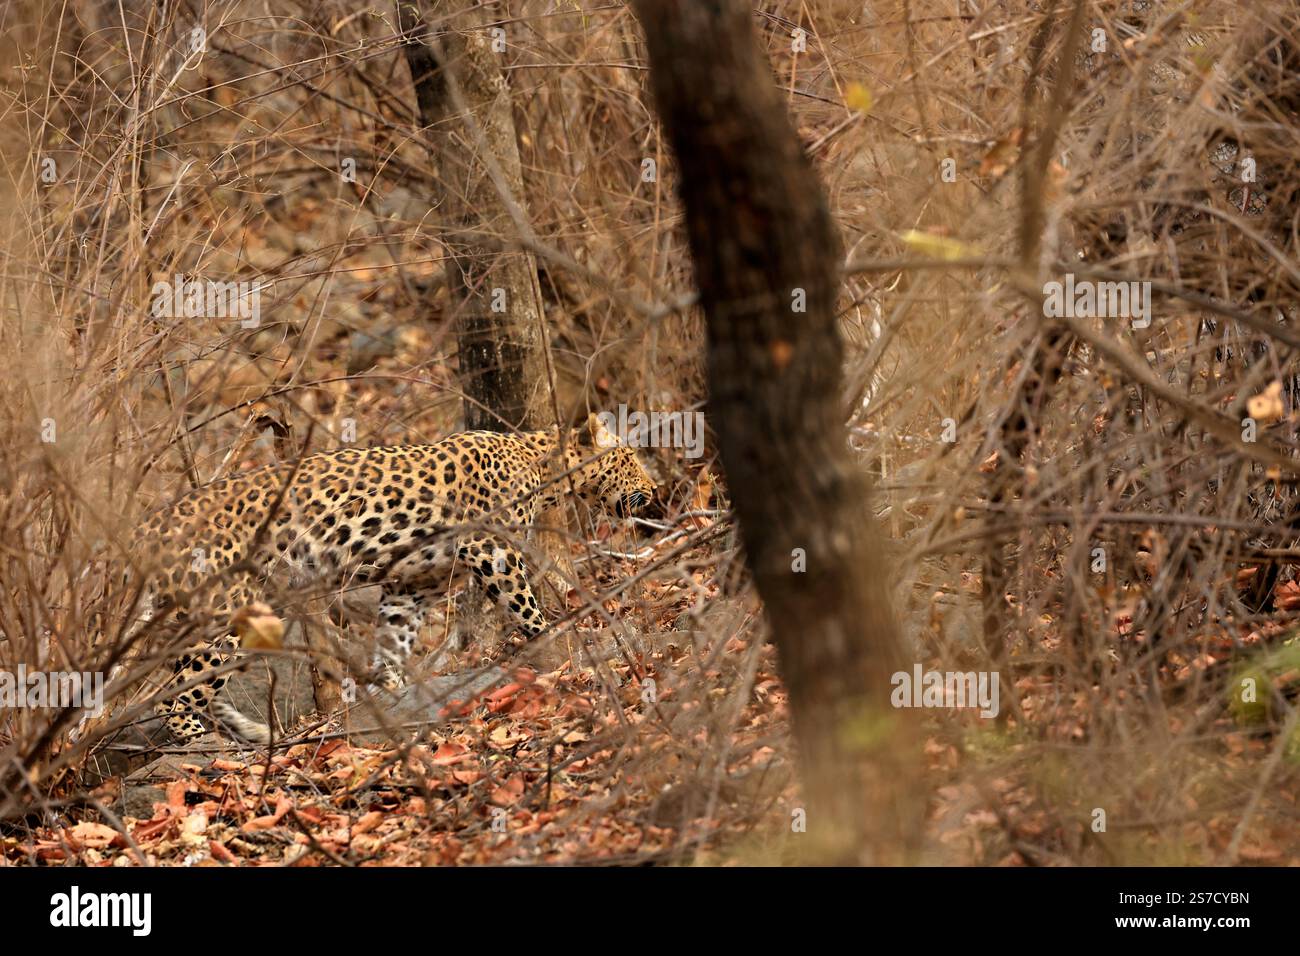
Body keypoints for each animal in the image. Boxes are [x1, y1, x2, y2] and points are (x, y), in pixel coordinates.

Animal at [122, 413, 655, 745]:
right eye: (629, 460)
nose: (656, 490)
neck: (540, 464)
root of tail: (149, 524)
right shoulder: (491, 548)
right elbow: (525, 606)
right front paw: (555, 643)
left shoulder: (412, 585)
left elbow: (394, 636)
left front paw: (393, 688)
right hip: (222, 612)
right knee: (176, 692)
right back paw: (204, 743)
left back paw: (250, 734)